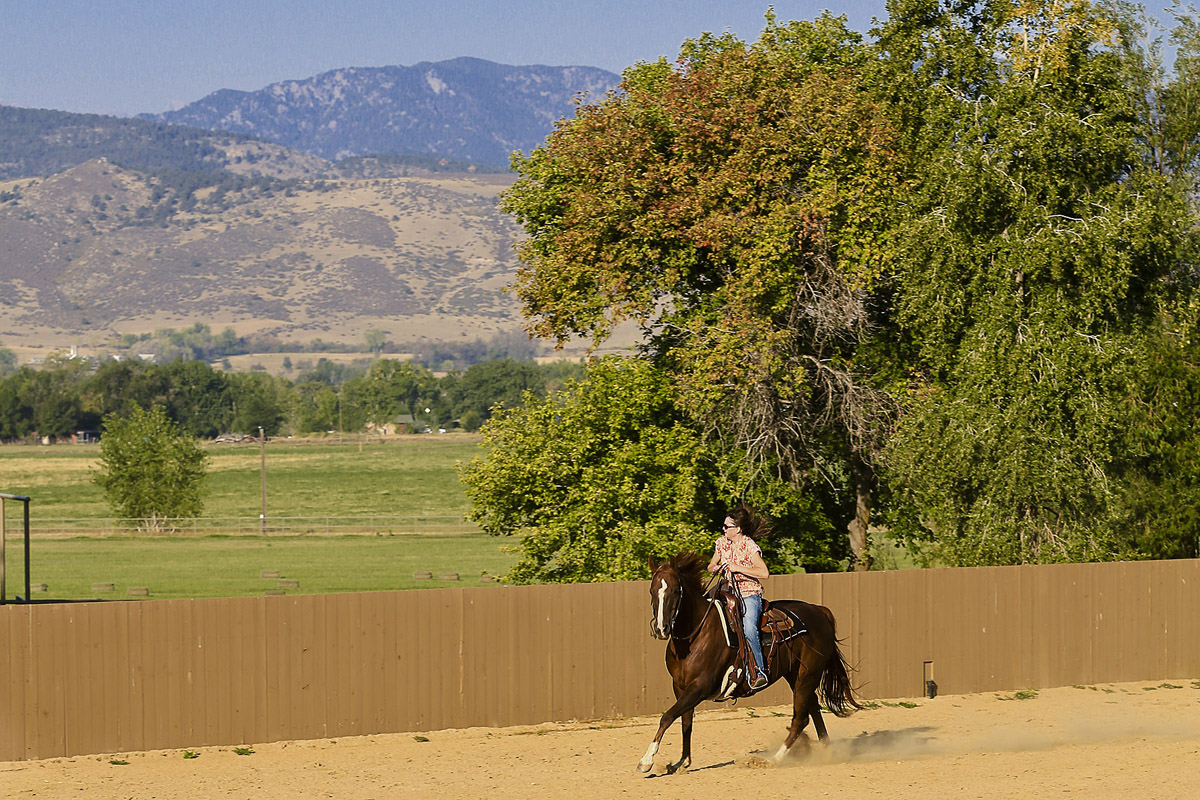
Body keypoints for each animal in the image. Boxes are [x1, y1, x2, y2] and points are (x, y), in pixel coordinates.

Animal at [638, 552, 860, 773]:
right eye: (651, 590)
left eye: (676, 590)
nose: (661, 628)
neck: (696, 634)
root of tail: (820, 611)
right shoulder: (680, 687)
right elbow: (685, 722)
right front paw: (682, 761)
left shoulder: (700, 687)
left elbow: (668, 717)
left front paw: (646, 760)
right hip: (796, 675)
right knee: (813, 708)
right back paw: (827, 751)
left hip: (808, 675)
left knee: (801, 718)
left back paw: (774, 759)